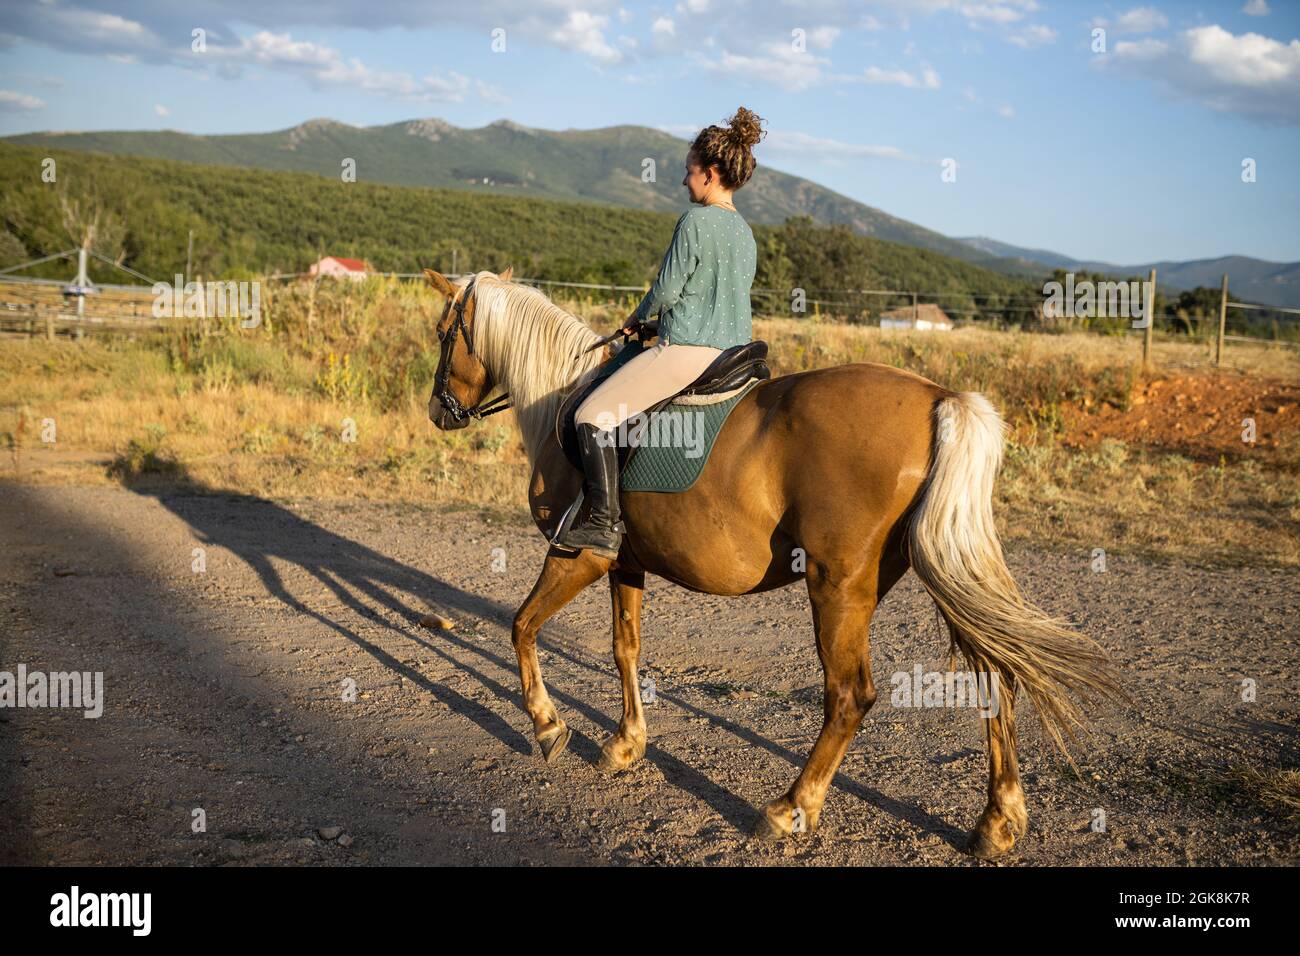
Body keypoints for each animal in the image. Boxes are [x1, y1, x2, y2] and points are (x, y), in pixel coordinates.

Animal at [423, 267, 1124, 859]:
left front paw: (547, 727)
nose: (439, 412)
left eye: (441, 333)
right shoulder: (624, 563)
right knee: (995, 673)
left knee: (850, 696)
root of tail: (938, 397)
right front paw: (625, 745)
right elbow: (625, 649)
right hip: (932, 568)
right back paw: (998, 821)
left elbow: (521, 626)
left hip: (836, 586)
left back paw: (789, 809)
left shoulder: (578, 556)